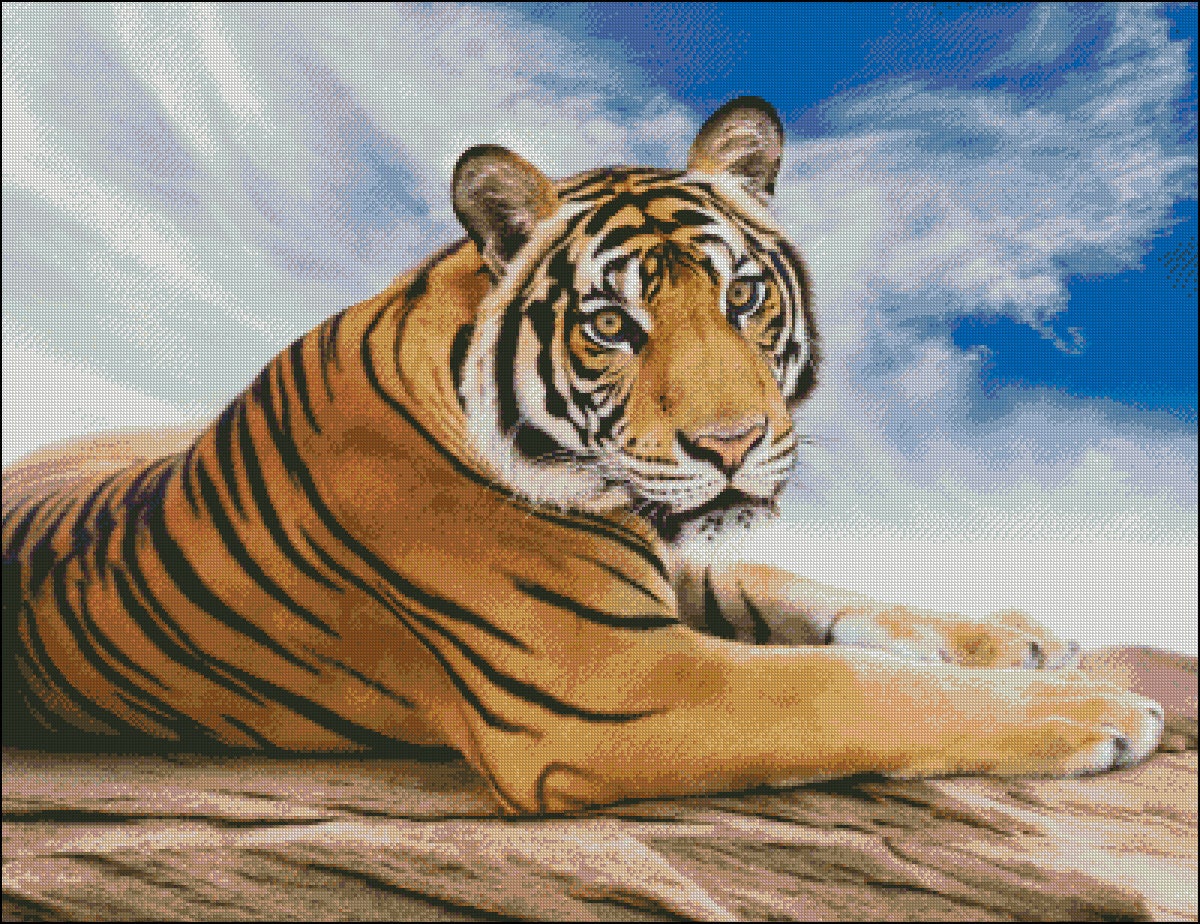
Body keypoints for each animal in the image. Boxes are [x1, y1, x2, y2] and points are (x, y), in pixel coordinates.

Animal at [2, 97, 1164, 815]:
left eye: (744, 294)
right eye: (612, 326)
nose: (735, 445)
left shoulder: (670, 571)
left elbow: (811, 597)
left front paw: (1015, 639)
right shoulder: (614, 684)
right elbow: (843, 686)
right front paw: (1097, 711)